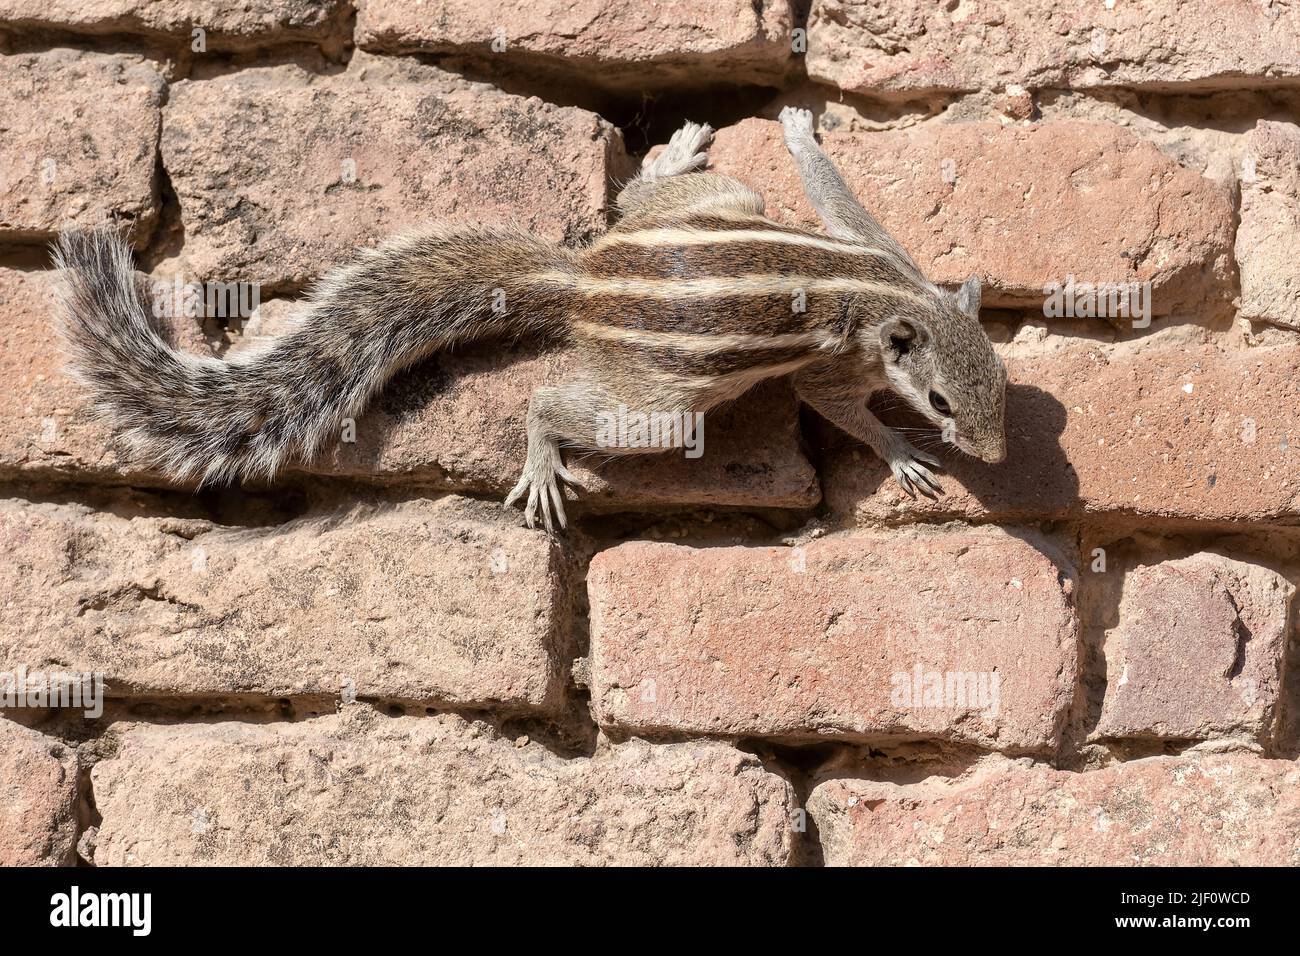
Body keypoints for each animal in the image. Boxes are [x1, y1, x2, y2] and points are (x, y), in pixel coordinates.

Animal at [53, 107, 1006, 532]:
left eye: (1001, 381)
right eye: (943, 402)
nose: (997, 459)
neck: (899, 298)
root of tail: (583, 279)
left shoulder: (876, 246)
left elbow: (834, 197)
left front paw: (804, 133)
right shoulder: (835, 356)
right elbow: (833, 402)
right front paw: (900, 450)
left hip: (728, 203)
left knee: (642, 195)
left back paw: (674, 154)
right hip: (663, 410)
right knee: (552, 403)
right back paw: (544, 458)